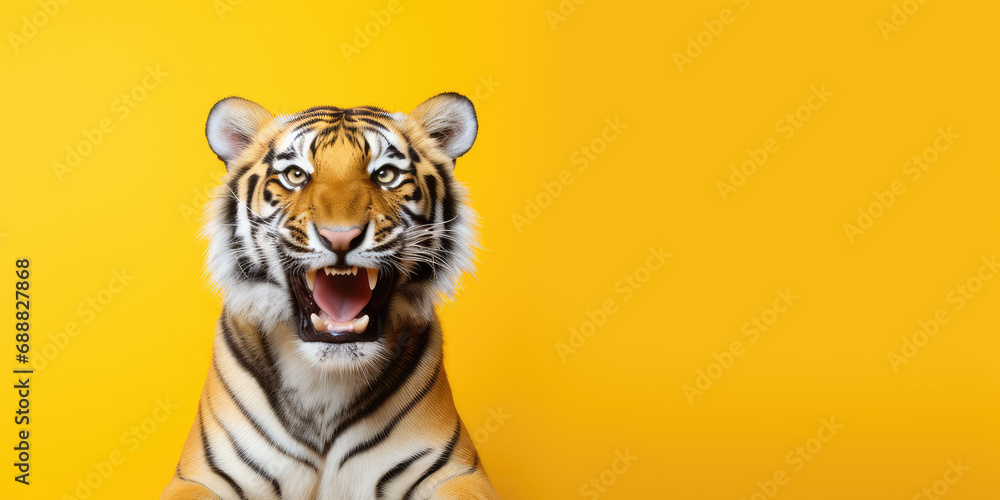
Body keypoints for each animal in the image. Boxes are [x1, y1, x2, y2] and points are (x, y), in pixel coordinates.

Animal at [161, 93, 499, 500]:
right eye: (295, 175)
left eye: (386, 174)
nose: (340, 237)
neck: (325, 384)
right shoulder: (201, 476)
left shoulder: (455, 471)